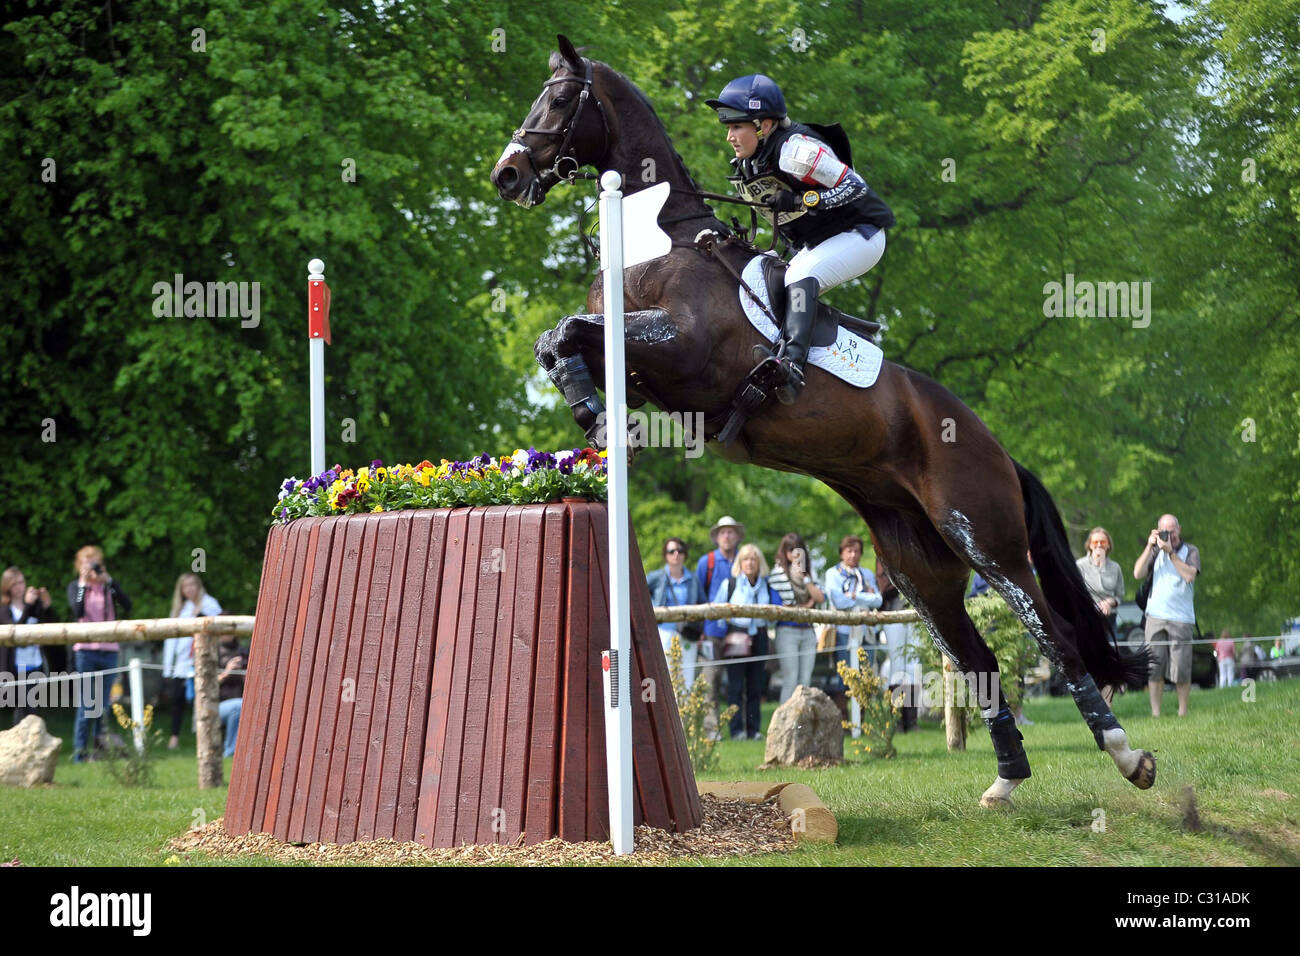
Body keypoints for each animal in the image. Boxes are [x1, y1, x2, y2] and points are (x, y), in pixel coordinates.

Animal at [490, 35, 1154, 807]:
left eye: (560, 100)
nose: (507, 174)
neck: (658, 240)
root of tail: (998, 450)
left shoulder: (682, 350)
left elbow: (569, 328)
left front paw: (596, 417)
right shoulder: (635, 360)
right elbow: (558, 338)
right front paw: (591, 414)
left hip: (987, 540)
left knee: (1054, 639)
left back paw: (1127, 756)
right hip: (917, 568)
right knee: (980, 659)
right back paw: (1005, 781)